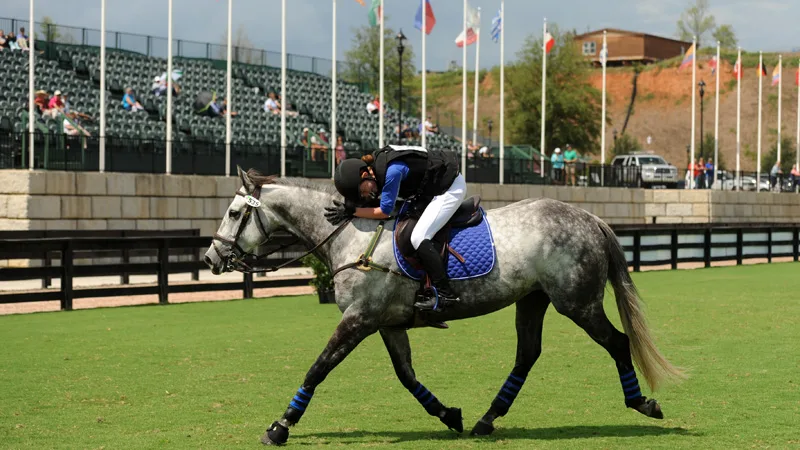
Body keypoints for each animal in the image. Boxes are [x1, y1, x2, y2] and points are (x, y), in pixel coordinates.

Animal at [204, 168, 685, 445]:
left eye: (233, 213)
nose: (210, 259)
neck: (352, 236)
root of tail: (591, 218)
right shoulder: (386, 323)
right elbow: (406, 376)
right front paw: (449, 414)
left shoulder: (358, 319)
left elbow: (318, 368)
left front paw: (281, 425)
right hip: (533, 300)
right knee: (527, 355)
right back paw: (486, 420)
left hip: (577, 303)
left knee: (617, 342)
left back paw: (643, 403)